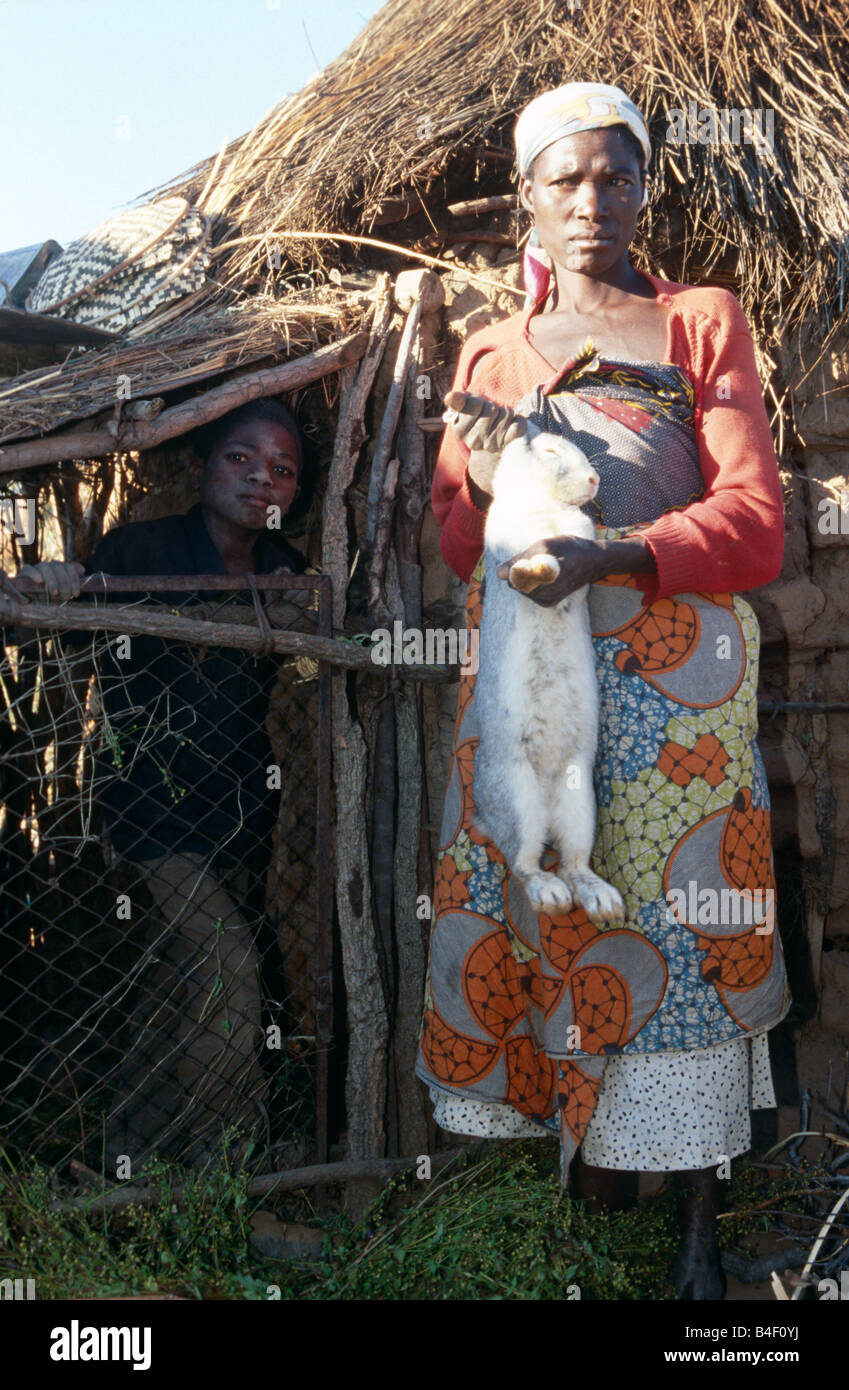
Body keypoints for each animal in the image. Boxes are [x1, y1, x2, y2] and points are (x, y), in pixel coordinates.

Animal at [472, 427, 625, 923]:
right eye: (551, 450)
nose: (595, 481)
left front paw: (539, 570)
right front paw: (531, 571)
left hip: (581, 805)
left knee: (572, 860)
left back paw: (601, 902)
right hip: (519, 800)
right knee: (525, 862)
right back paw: (552, 897)